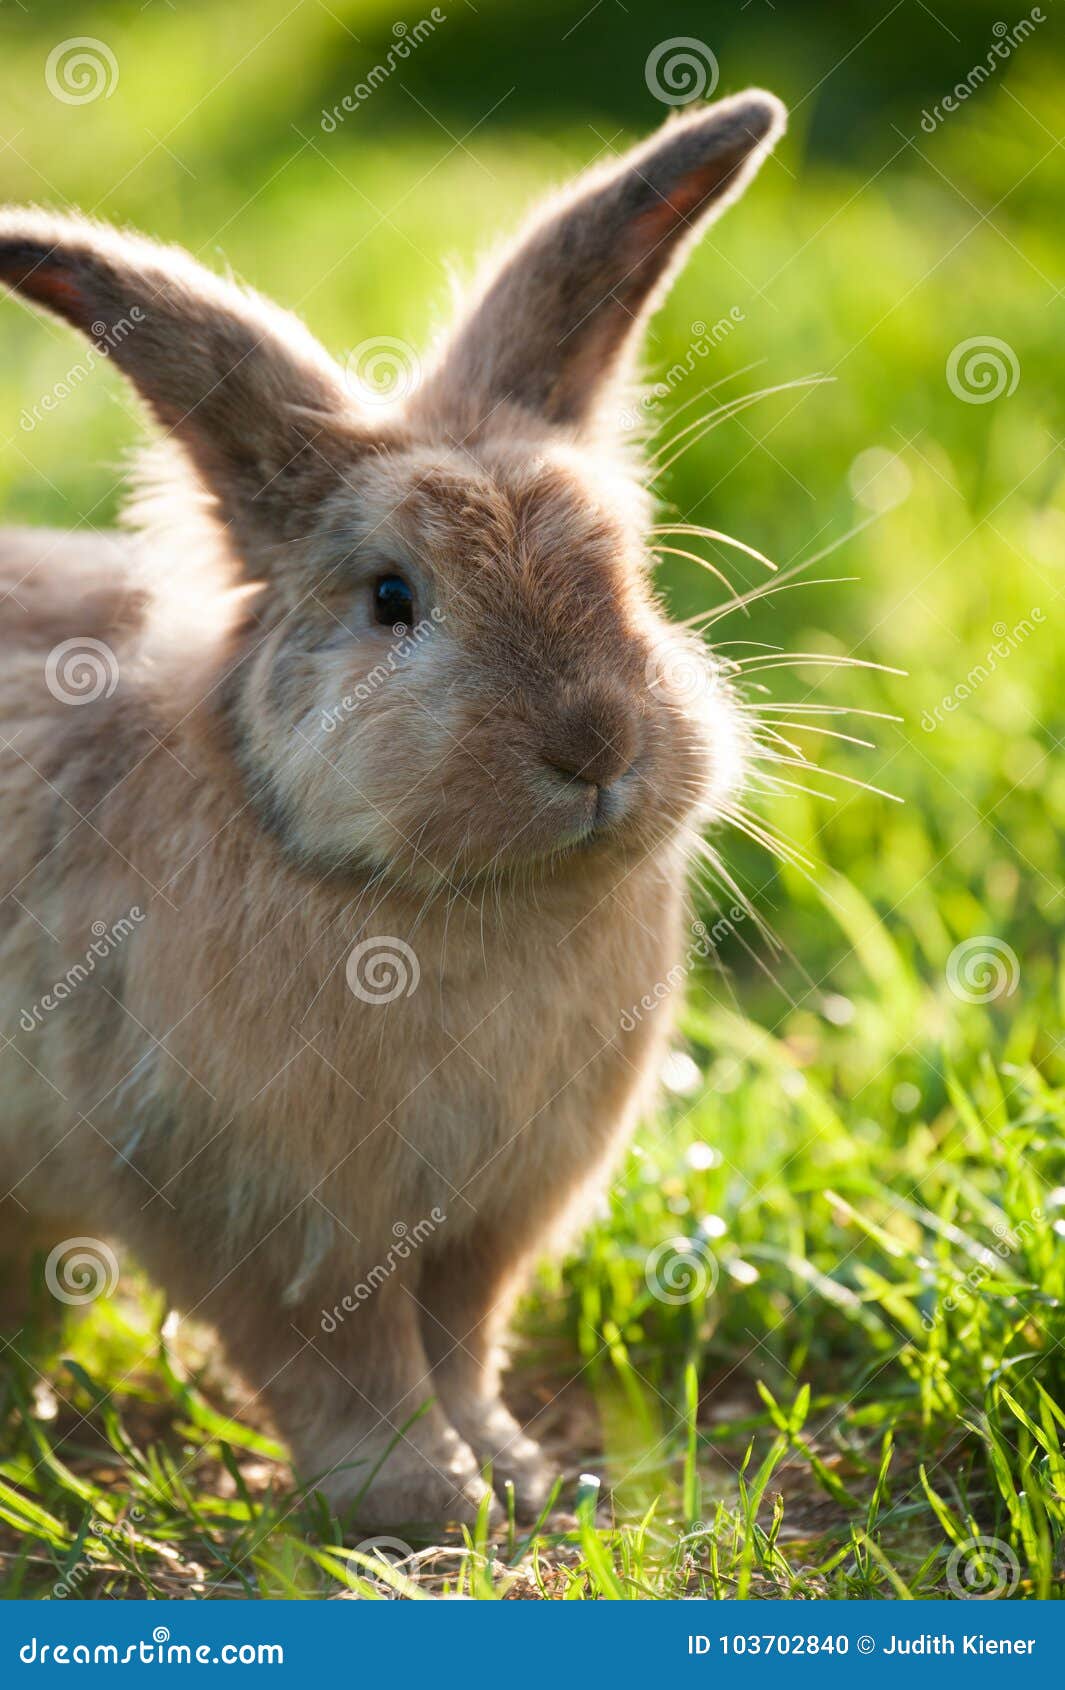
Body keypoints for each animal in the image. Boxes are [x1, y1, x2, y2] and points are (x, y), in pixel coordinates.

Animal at [0, 89, 785, 1529]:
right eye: (390, 598)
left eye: (629, 572)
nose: (594, 742)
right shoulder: (275, 1223)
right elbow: (346, 1366)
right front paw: (423, 1505)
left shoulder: (489, 1219)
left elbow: (460, 1340)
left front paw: (520, 1475)